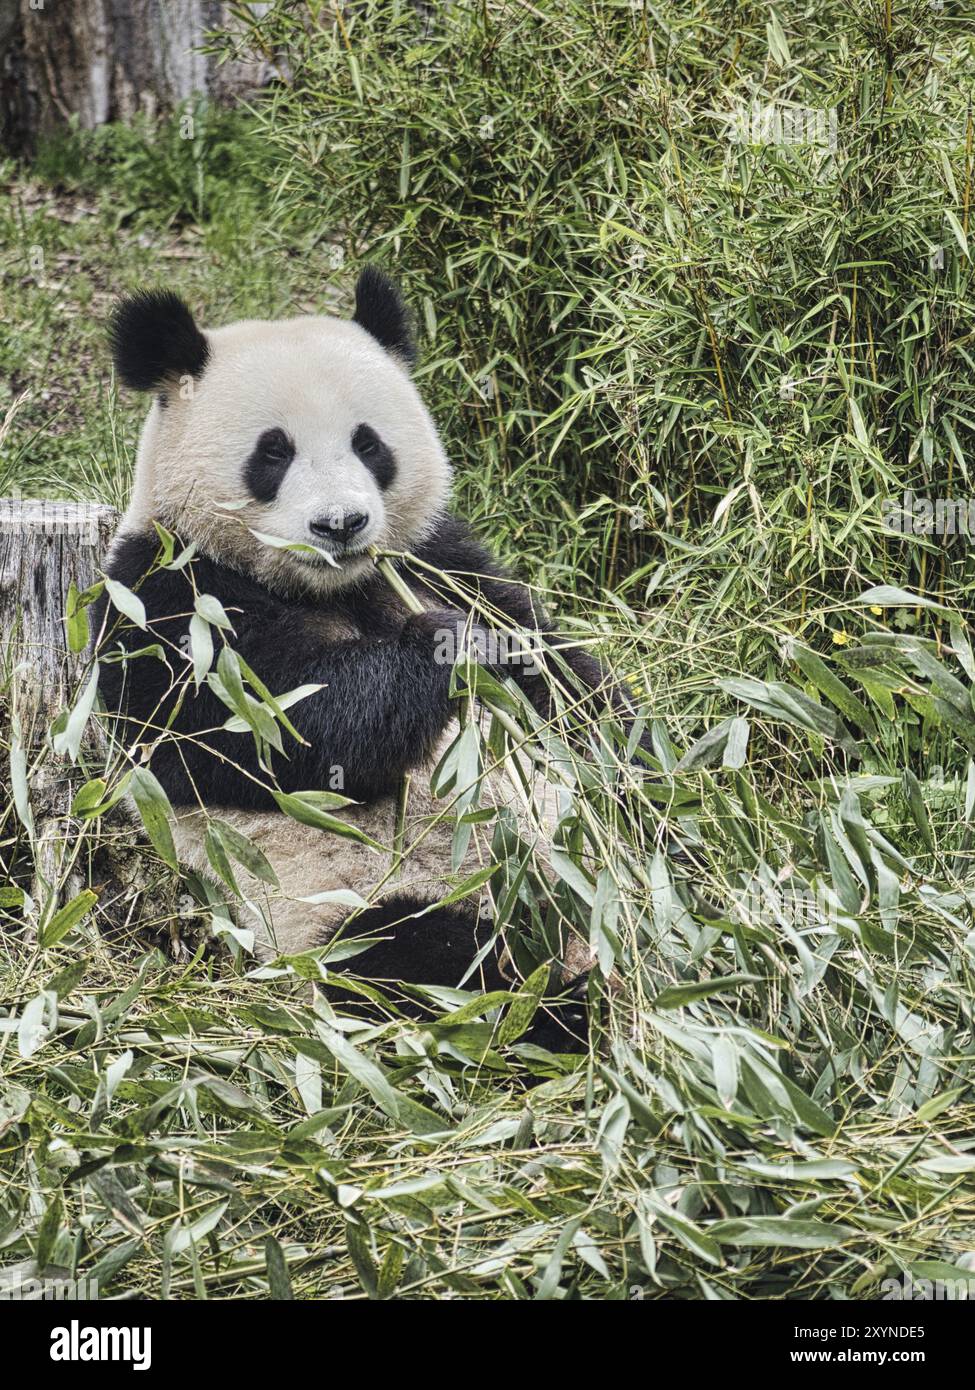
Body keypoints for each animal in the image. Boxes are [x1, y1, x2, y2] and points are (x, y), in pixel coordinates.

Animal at [95, 269, 645, 1043]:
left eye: (368, 443)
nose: (341, 524)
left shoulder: (439, 559)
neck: (333, 586)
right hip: (354, 910)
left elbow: (565, 683)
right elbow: (286, 732)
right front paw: (447, 650)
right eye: (273, 452)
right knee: (428, 964)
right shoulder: (168, 602)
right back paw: (557, 1009)